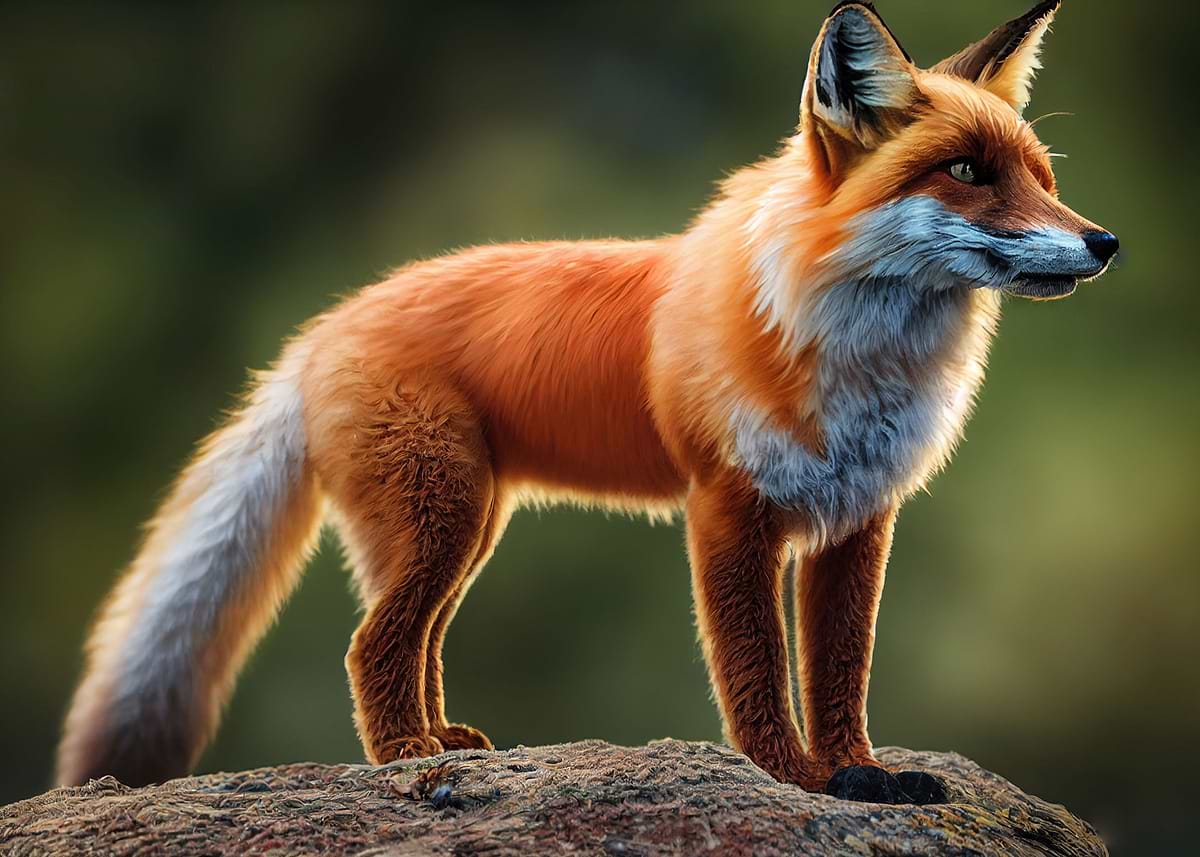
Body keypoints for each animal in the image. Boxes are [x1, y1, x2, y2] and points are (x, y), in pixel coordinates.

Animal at [58, 0, 1117, 805]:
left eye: (1042, 177)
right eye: (967, 172)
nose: (1104, 241)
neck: (857, 358)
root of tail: (321, 326)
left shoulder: (859, 517)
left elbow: (841, 672)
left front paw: (860, 772)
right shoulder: (729, 510)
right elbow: (756, 672)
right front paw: (798, 777)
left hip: (465, 526)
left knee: (416, 638)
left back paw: (442, 740)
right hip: (441, 518)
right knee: (369, 645)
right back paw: (405, 761)